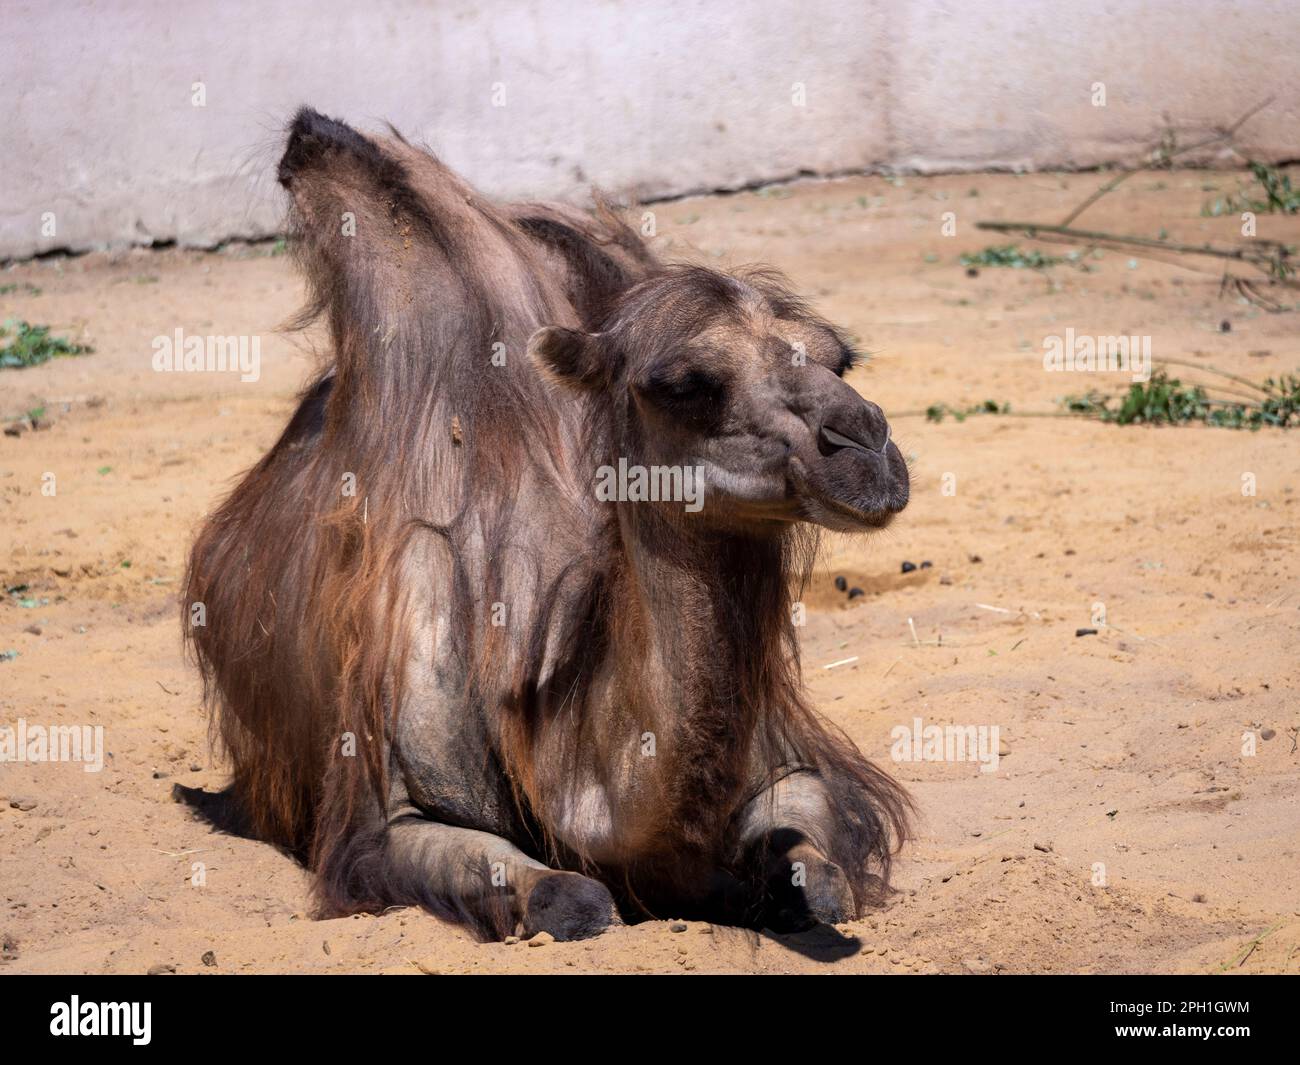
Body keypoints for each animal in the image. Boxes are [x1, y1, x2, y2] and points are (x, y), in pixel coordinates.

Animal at [184, 108, 911, 940]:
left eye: (839, 360)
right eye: (686, 383)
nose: (866, 445)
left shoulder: (793, 763)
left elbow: (818, 876)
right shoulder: (389, 805)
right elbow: (572, 898)